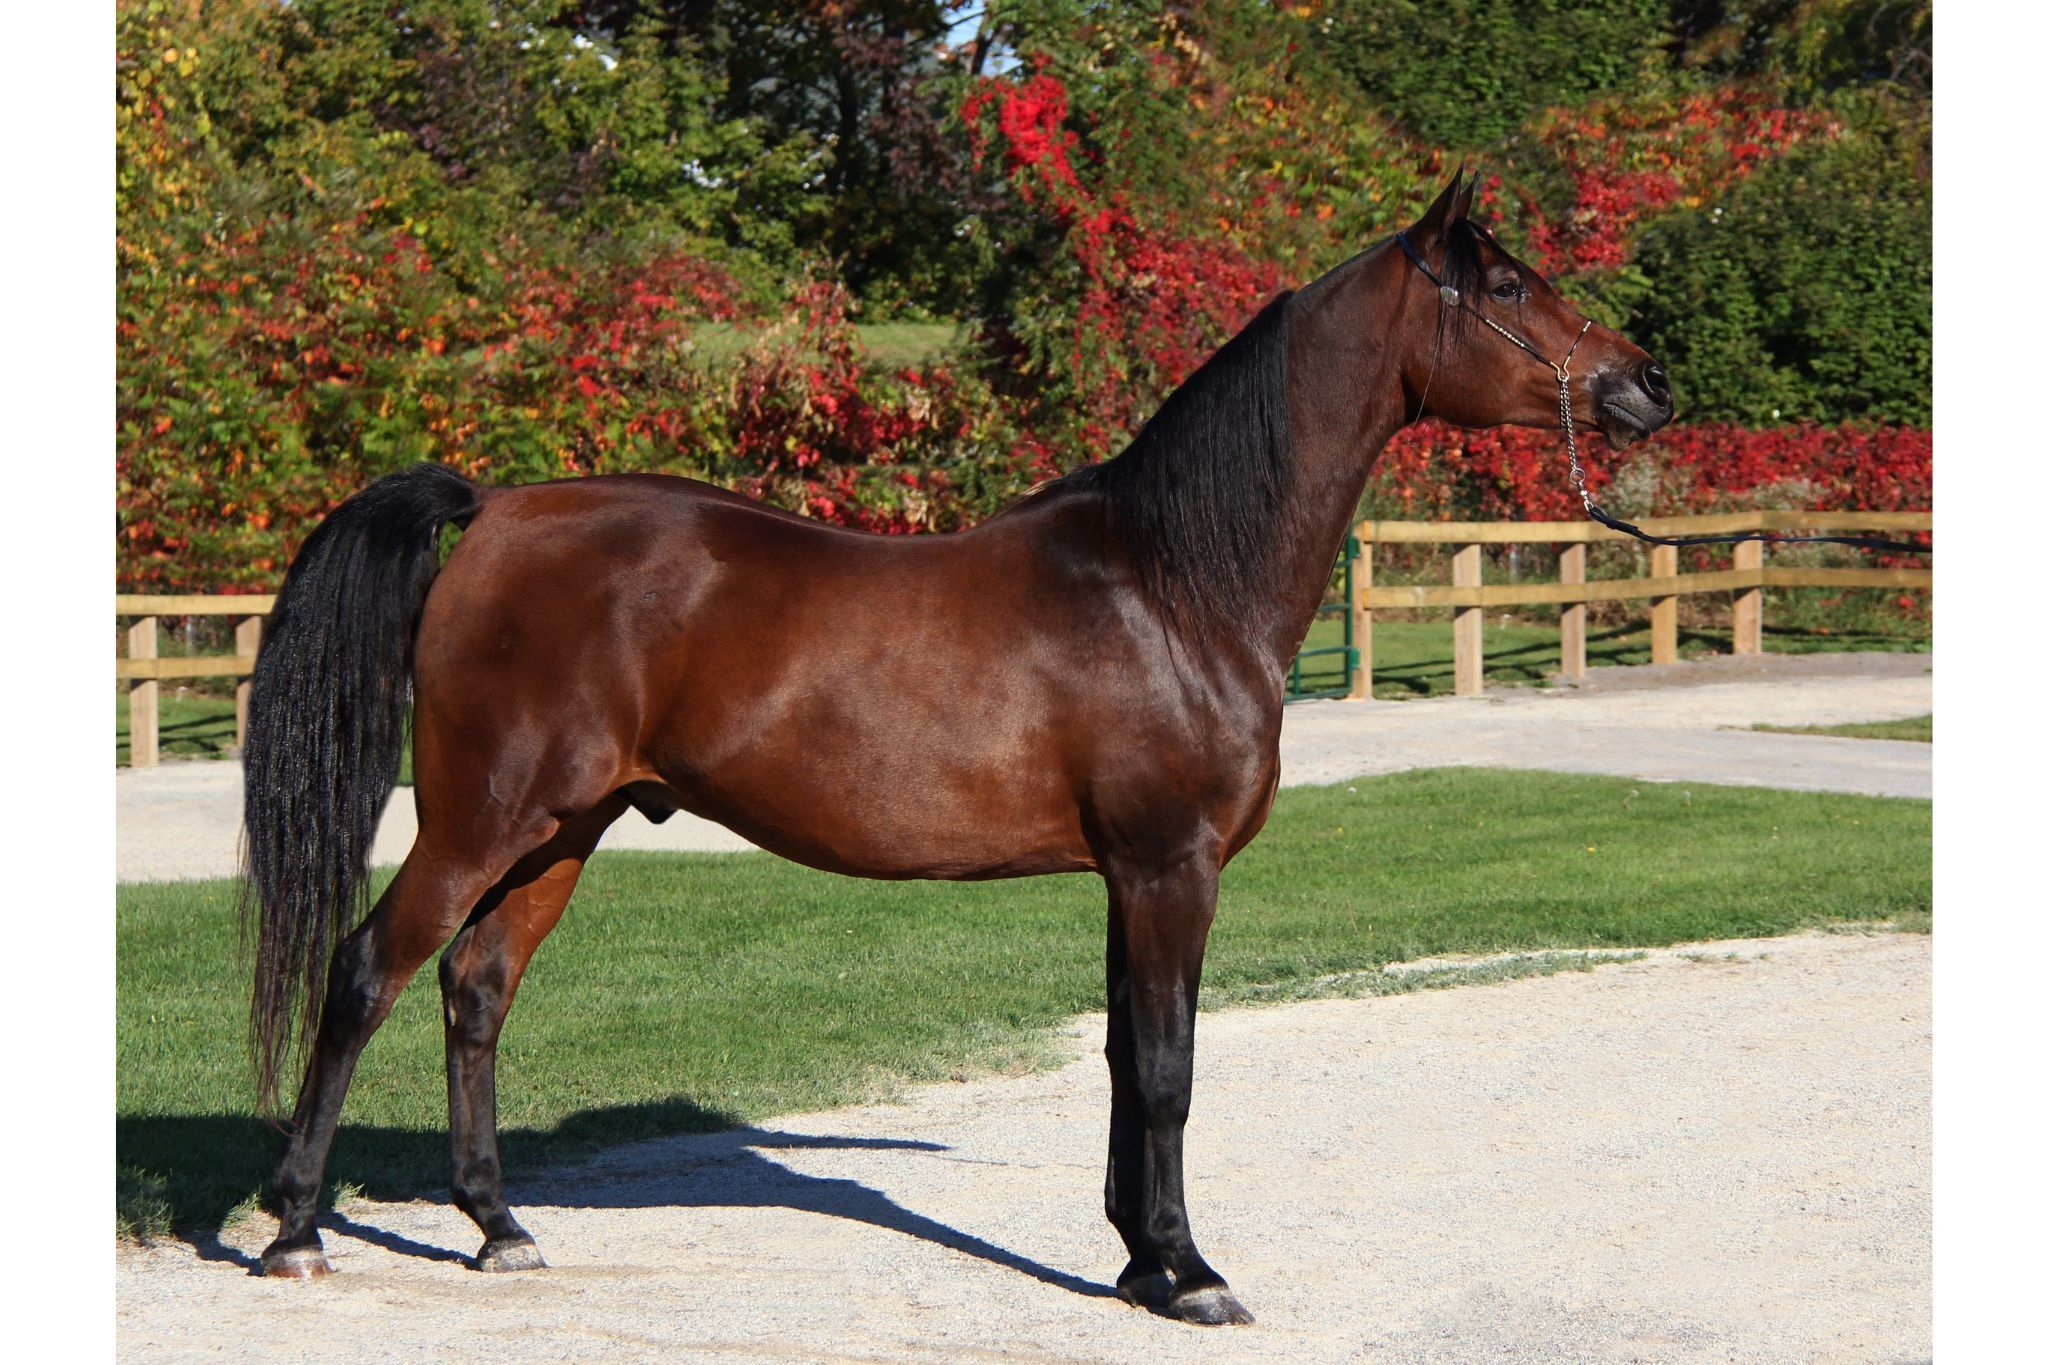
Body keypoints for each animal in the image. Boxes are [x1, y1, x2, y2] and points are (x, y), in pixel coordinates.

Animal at [240, 169, 1673, 1324]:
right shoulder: (1172, 868)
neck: (1175, 582)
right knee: (364, 971)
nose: (1645, 383)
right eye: (1508, 284)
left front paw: (1137, 1262)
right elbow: (1168, 1070)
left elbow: (1124, 1055)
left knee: (475, 990)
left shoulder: (1130, 877)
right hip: (479, 819)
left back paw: (499, 1228)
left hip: (561, 832)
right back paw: (296, 1228)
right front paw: (1190, 1274)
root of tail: (493, 511)